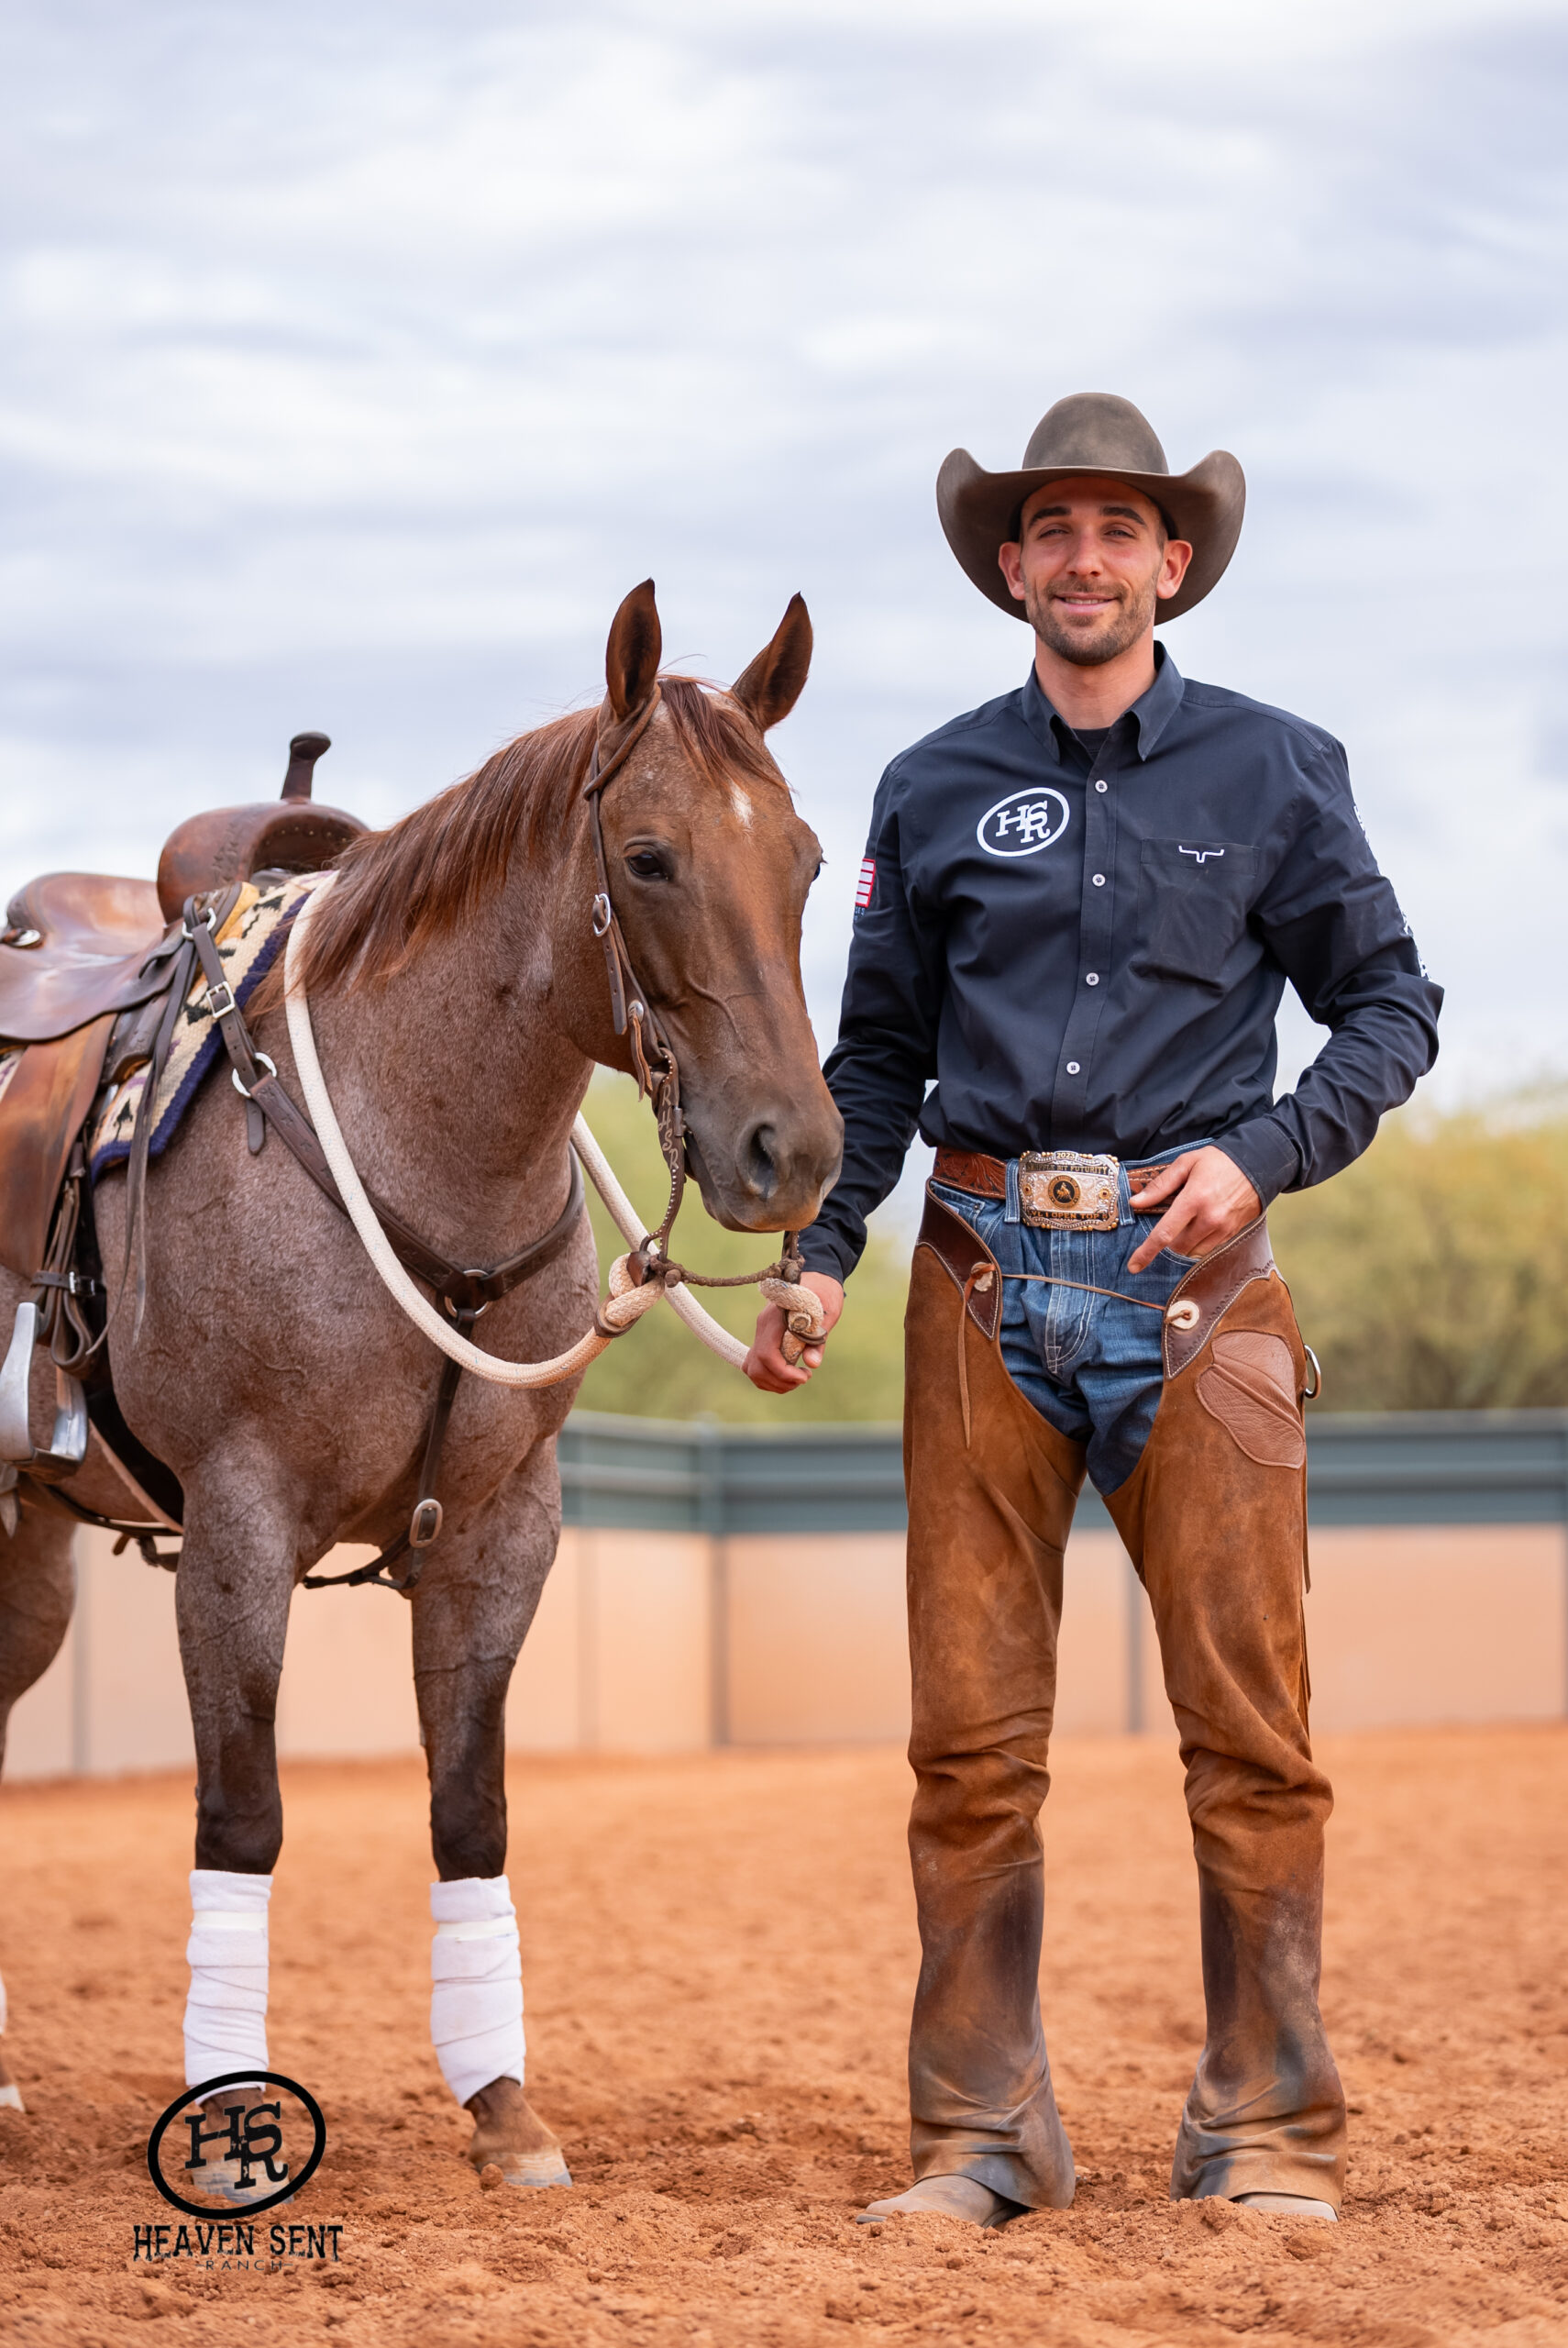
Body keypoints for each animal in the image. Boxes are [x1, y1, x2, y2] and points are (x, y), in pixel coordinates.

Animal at [0, 580, 842, 2180]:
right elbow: (243, 1816)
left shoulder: (505, 1533)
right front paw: (228, 2114)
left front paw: (503, 2110)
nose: (796, 1152)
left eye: (811, 860)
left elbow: (471, 1809)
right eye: (648, 857)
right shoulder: (240, 1526)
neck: (409, 1140)